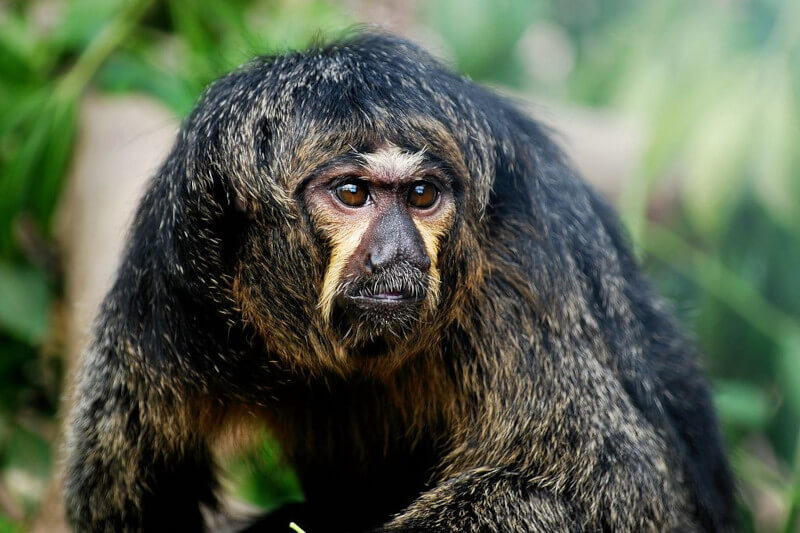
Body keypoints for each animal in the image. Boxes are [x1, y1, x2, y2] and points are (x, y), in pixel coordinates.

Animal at [63, 33, 735, 532]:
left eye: (421, 196)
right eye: (352, 193)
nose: (398, 254)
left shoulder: (520, 270)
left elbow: (609, 485)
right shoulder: (171, 287)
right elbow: (128, 495)